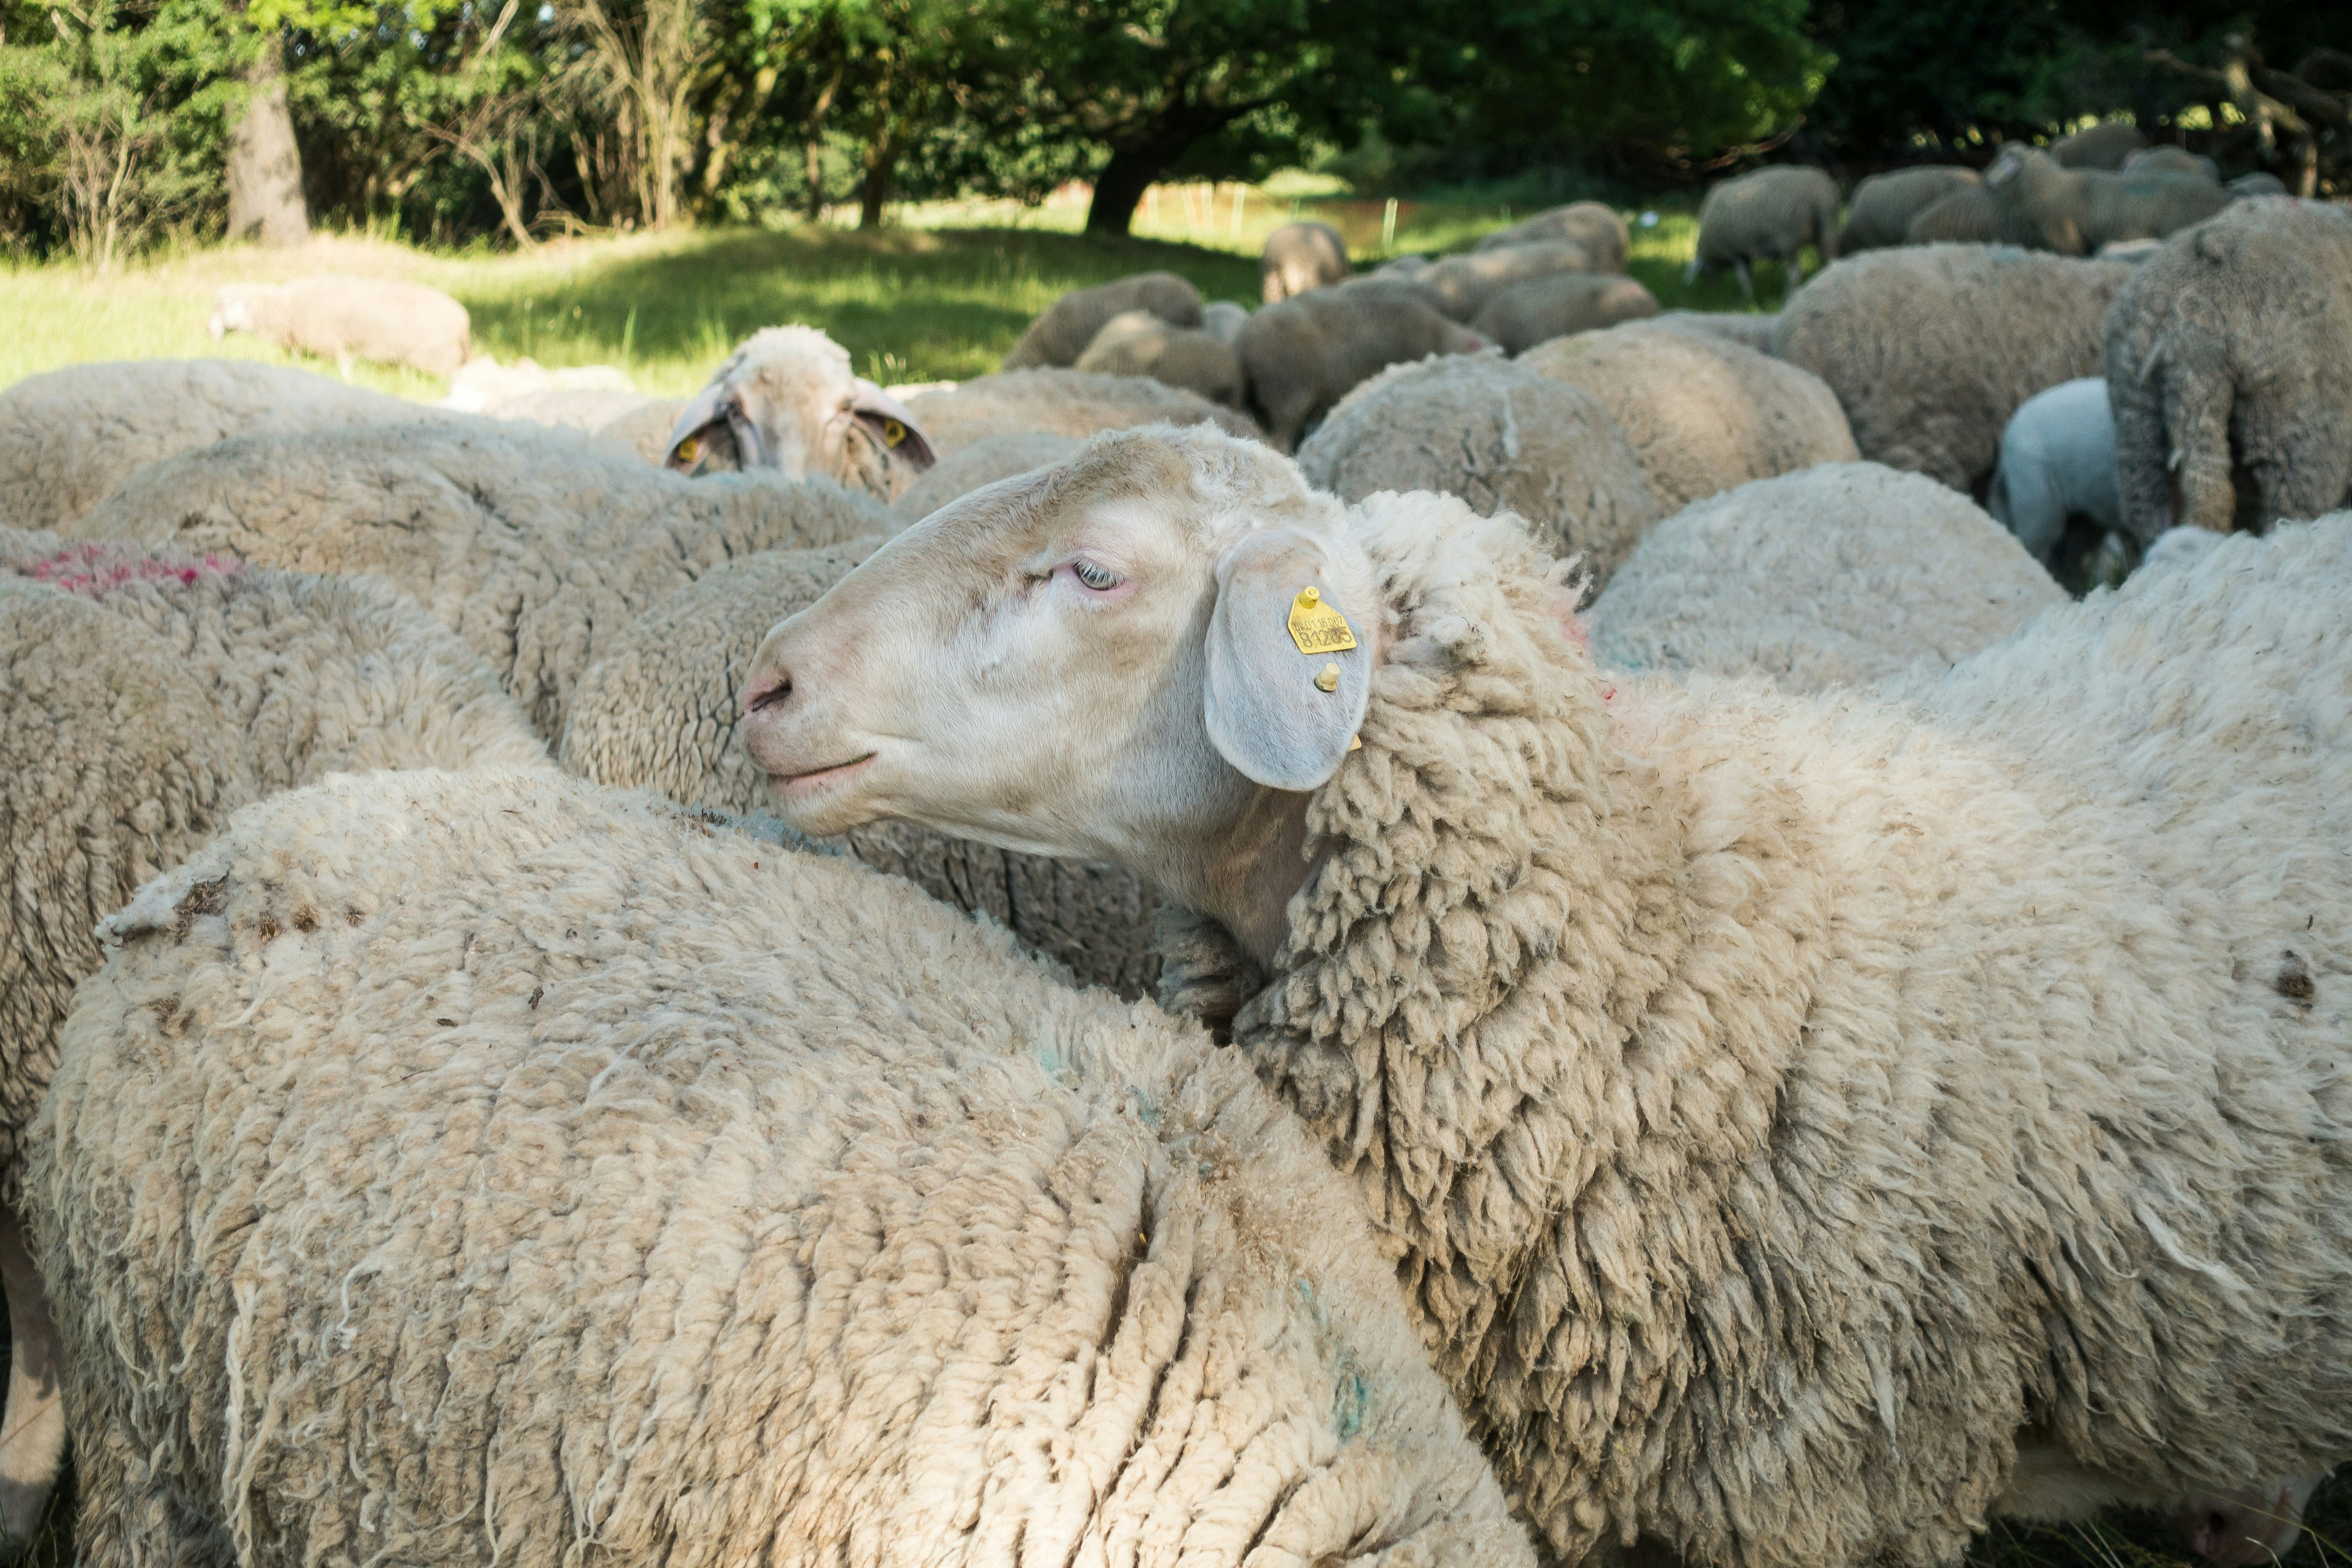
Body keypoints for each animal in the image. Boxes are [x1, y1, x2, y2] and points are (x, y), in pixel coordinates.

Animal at [207, 275, 473, 378]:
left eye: (221, 305)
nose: (208, 331)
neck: (287, 308)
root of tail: (464, 321)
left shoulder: (331, 345)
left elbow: (345, 368)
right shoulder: (300, 348)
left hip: (439, 360)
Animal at [1685, 166, 1841, 302]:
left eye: (1703, 273)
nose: (1711, 292)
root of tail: (1821, 196)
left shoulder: (1735, 251)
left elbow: (1742, 277)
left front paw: (1747, 299)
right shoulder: (1744, 252)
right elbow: (1748, 275)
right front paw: (1750, 298)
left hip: (1788, 239)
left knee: (1795, 273)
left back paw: (1788, 297)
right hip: (1826, 230)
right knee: (1829, 259)